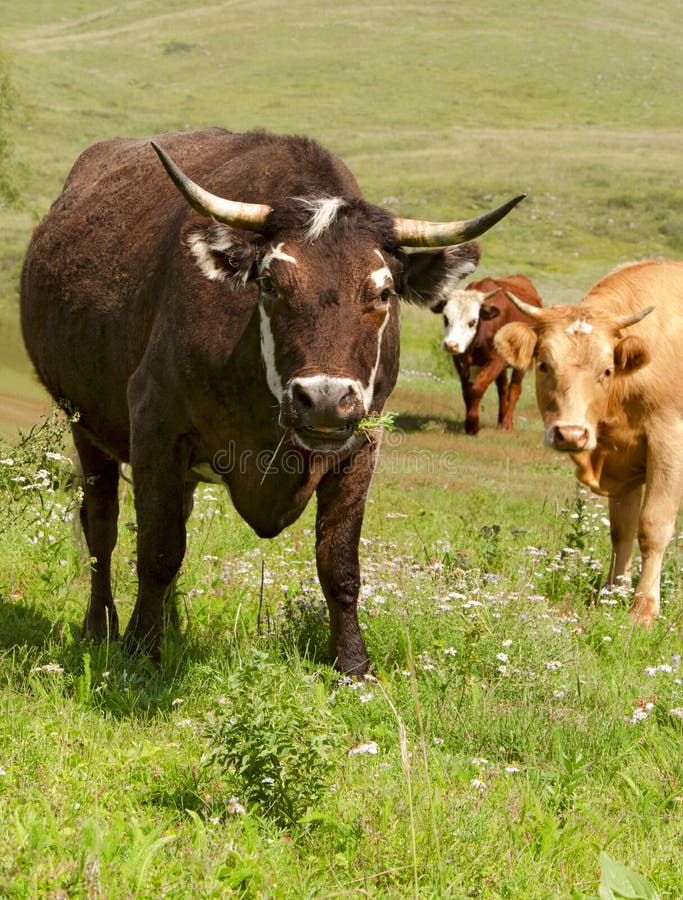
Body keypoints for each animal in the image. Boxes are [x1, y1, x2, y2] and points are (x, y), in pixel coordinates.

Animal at [20, 127, 524, 674]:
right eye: (269, 282)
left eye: (383, 292)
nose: (324, 399)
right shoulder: (156, 427)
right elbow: (157, 550)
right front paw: (139, 650)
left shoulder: (362, 446)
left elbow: (339, 563)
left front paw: (353, 664)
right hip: (85, 425)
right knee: (102, 527)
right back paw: (101, 626)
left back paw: (172, 626)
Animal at [430, 274, 543, 434]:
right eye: (446, 318)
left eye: (472, 322)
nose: (451, 345)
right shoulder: (459, 361)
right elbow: (466, 391)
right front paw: (468, 424)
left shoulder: (497, 360)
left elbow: (477, 388)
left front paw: (473, 425)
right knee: (503, 389)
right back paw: (501, 419)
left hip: (522, 361)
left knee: (514, 389)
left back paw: (507, 424)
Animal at [494, 260, 683, 628]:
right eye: (544, 364)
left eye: (606, 370)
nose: (570, 433)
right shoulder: (619, 456)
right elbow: (622, 529)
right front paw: (612, 593)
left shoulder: (669, 439)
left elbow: (653, 525)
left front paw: (644, 608)